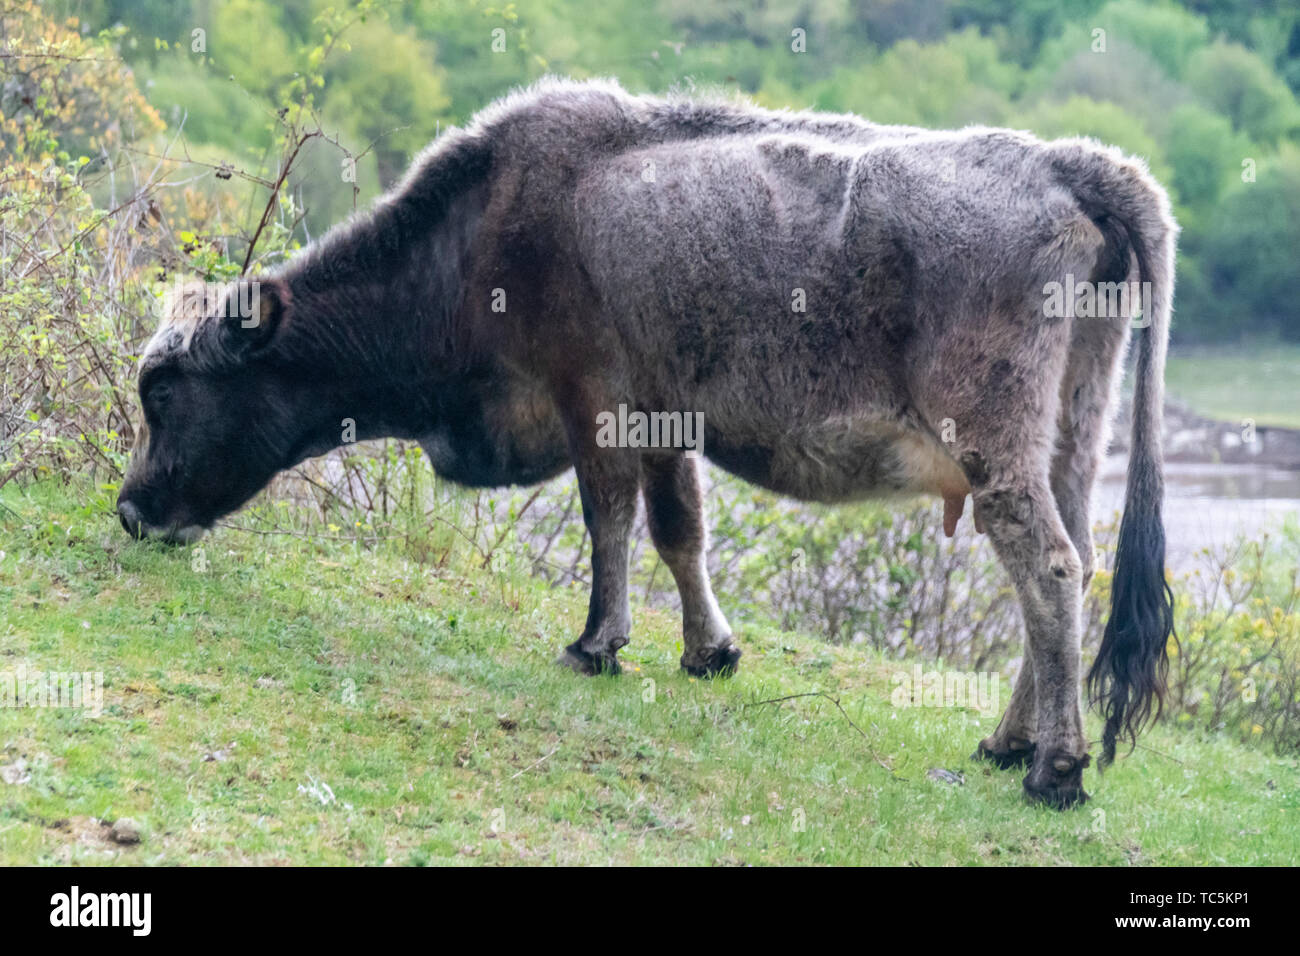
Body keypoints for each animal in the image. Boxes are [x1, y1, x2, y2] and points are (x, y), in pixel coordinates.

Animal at [117, 78, 1177, 807]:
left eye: (163, 389)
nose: (129, 510)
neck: (482, 237)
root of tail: (1074, 162)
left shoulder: (597, 399)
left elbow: (611, 521)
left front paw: (597, 642)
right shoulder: (668, 412)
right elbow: (678, 530)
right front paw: (709, 651)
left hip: (992, 435)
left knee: (1046, 567)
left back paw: (1054, 768)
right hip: (1069, 433)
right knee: (1072, 565)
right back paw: (1009, 742)